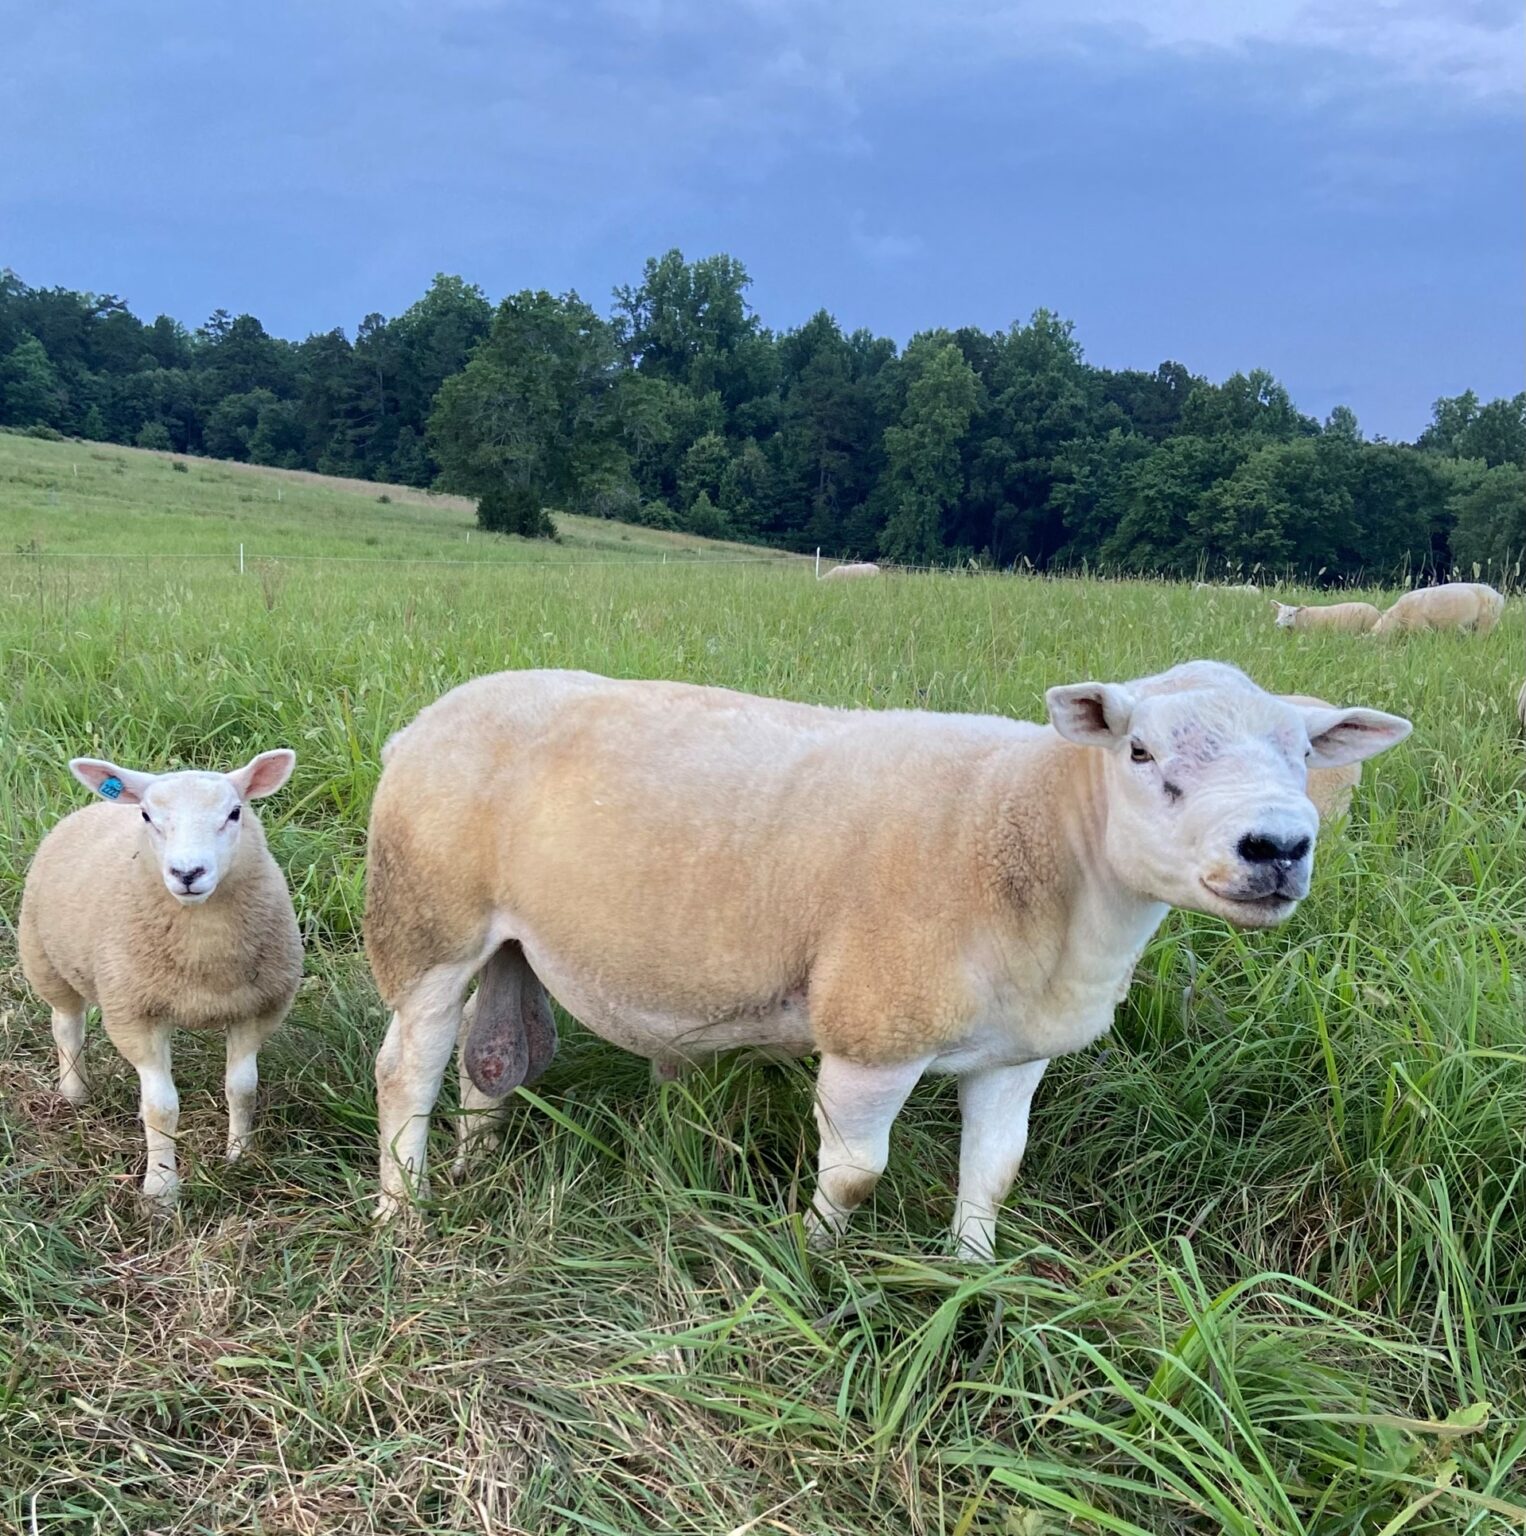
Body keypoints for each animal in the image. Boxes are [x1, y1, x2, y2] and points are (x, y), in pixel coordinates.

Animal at [18, 751, 303, 1209]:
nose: (187, 872)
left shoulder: (256, 1009)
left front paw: (239, 1156)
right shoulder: (134, 1015)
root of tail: (97, 807)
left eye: (234, 813)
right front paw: (161, 1189)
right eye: (147, 816)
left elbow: (242, 1088)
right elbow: (162, 1107)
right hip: (44, 958)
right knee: (66, 1025)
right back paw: (74, 1092)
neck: (204, 957)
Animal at [364, 663, 1410, 1258]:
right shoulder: (873, 1034)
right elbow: (858, 1173)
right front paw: (814, 1261)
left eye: (1303, 753)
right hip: (427, 918)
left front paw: (971, 1275)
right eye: (1141, 752)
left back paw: (474, 1171)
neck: (1035, 837)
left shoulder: (1017, 1052)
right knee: (408, 1067)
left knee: (495, 1059)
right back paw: (404, 1211)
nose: (1276, 847)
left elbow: (997, 1171)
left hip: (506, 939)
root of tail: (422, 720)